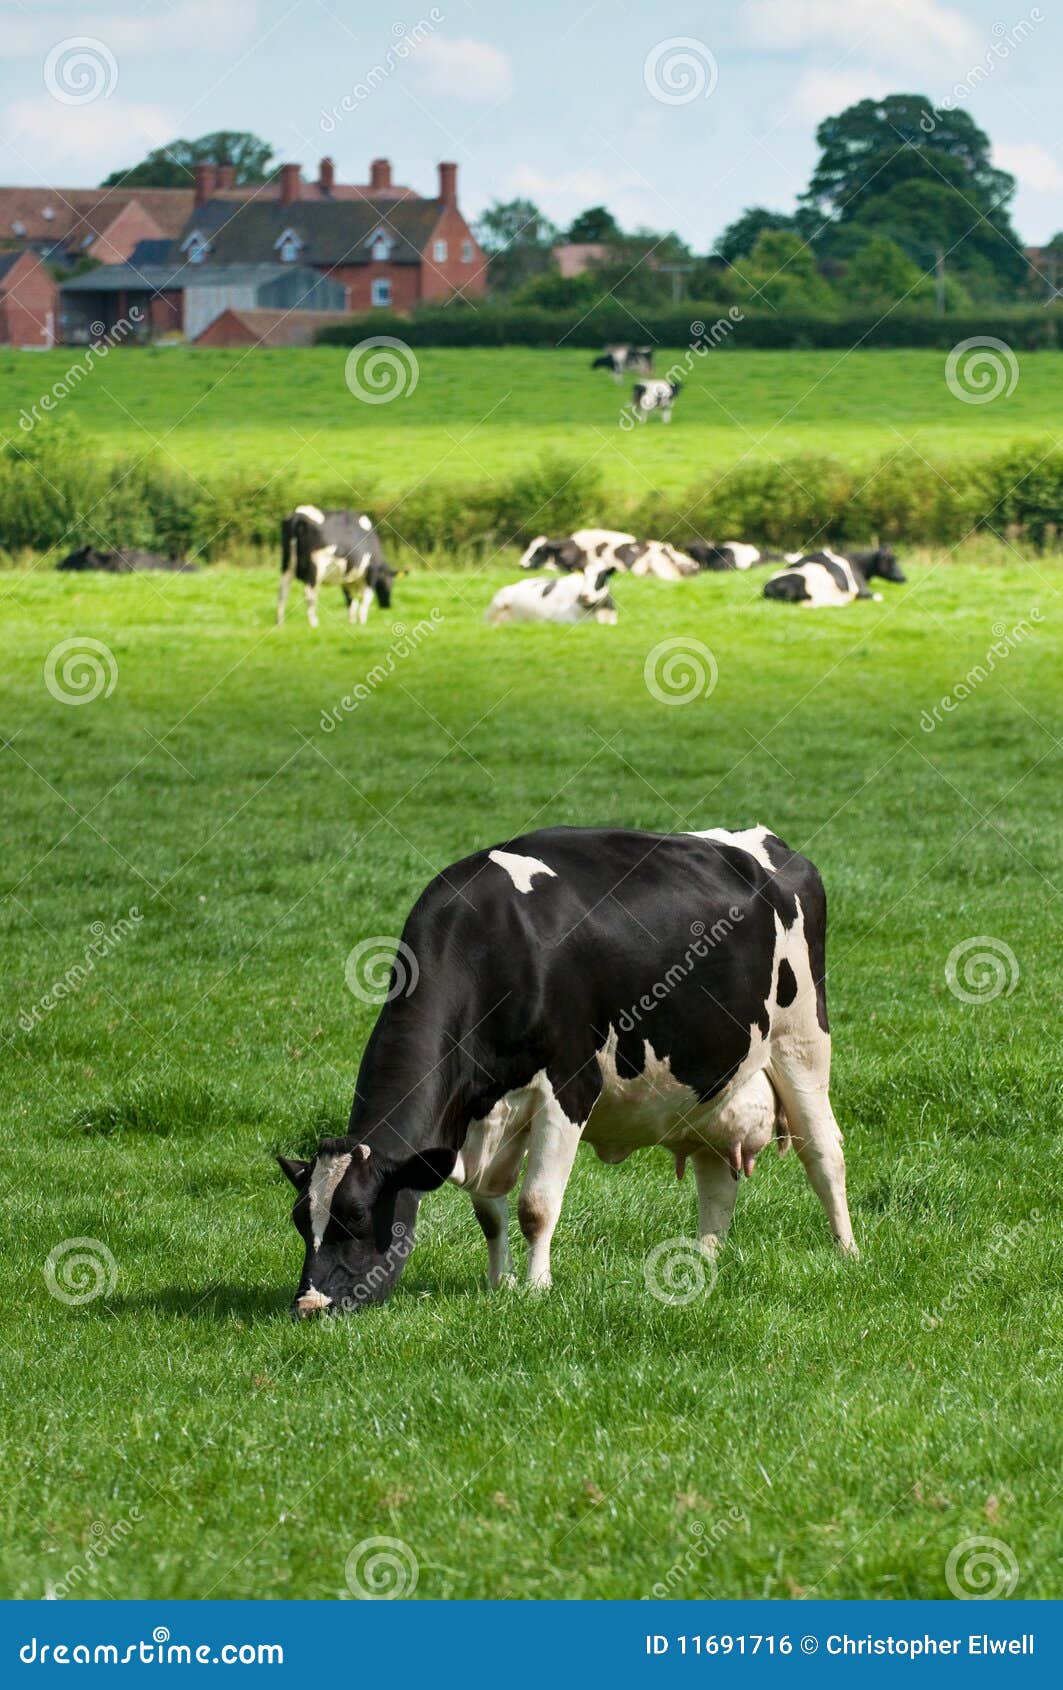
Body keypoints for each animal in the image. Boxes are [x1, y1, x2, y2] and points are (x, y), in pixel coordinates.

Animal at [278, 823, 856, 1316]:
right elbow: (489, 1211)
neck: (489, 942)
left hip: (802, 1043)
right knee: (717, 1181)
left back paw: (847, 1252)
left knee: (823, 1150)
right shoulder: (486, 1112)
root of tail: (770, 843)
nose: (309, 1305)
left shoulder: (570, 1086)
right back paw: (703, 1261)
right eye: (300, 1220)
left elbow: (535, 1205)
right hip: (715, 1084)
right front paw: (500, 1283)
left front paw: (536, 1288)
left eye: (356, 1217)